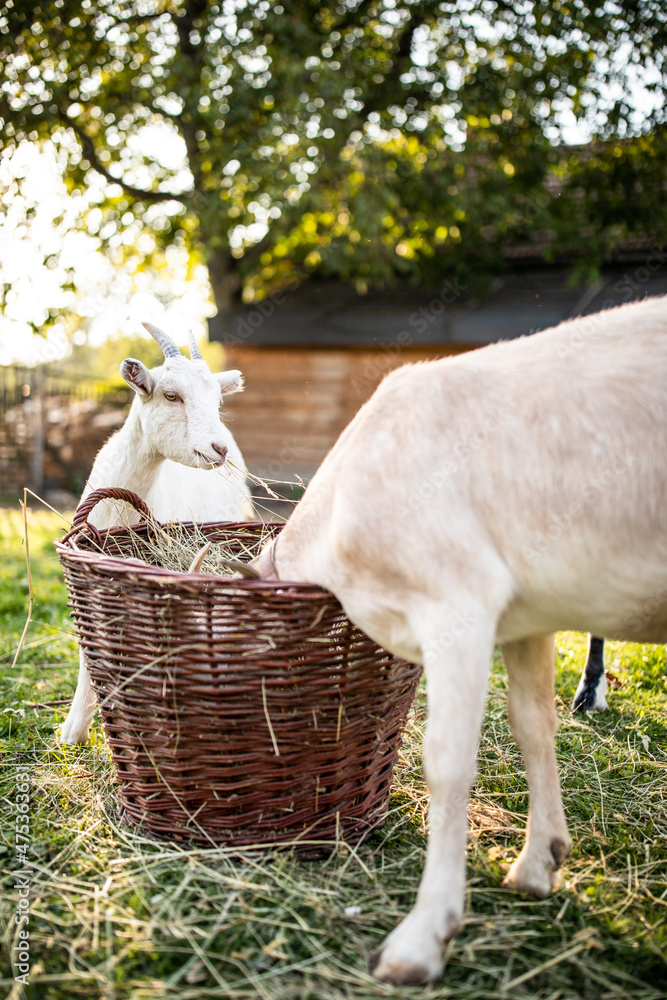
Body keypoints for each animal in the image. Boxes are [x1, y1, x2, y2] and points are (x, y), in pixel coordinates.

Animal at [251, 295, 667, 985]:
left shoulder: (458, 603)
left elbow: (447, 762)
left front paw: (421, 939)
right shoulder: (525, 617)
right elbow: (533, 725)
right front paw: (538, 863)